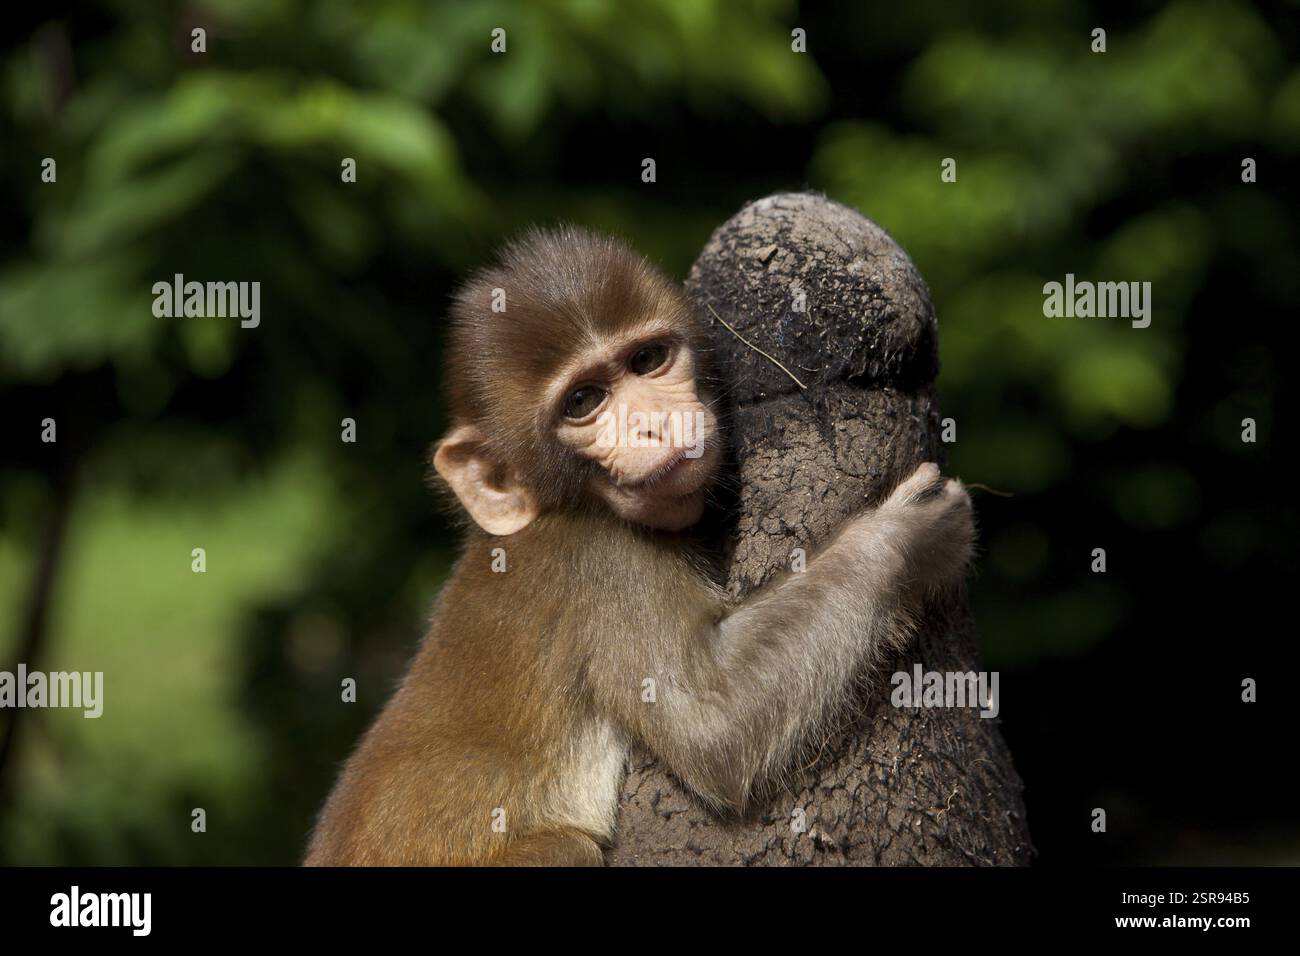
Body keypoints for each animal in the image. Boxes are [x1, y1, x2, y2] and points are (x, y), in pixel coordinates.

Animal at [304, 226, 974, 866]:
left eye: (648, 360)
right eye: (583, 402)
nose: (652, 422)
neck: (556, 508)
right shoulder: (602, 559)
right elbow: (716, 721)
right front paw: (907, 539)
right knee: (571, 849)